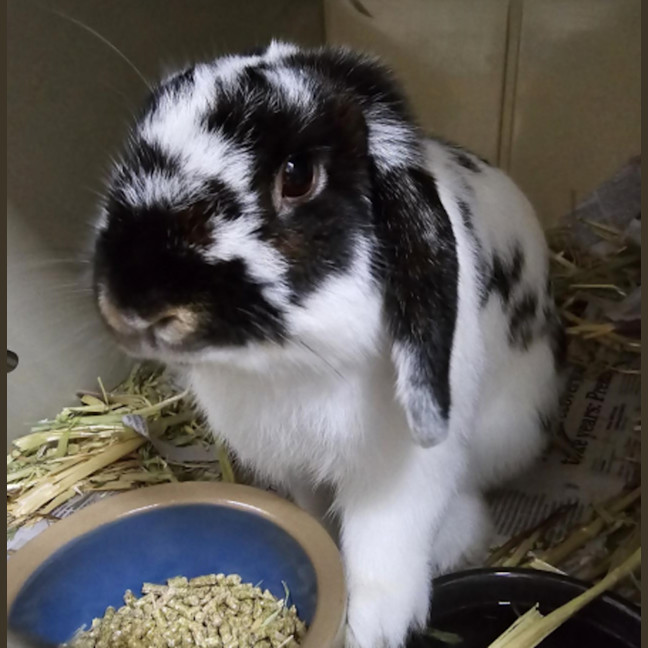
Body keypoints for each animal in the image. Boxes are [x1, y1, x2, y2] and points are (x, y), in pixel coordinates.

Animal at [91, 41, 566, 648]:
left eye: (297, 177)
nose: (130, 305)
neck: (286, 365)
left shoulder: (398, 476)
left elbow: (381, 558)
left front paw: (373, 631)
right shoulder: (297, 468)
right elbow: (316, 518)